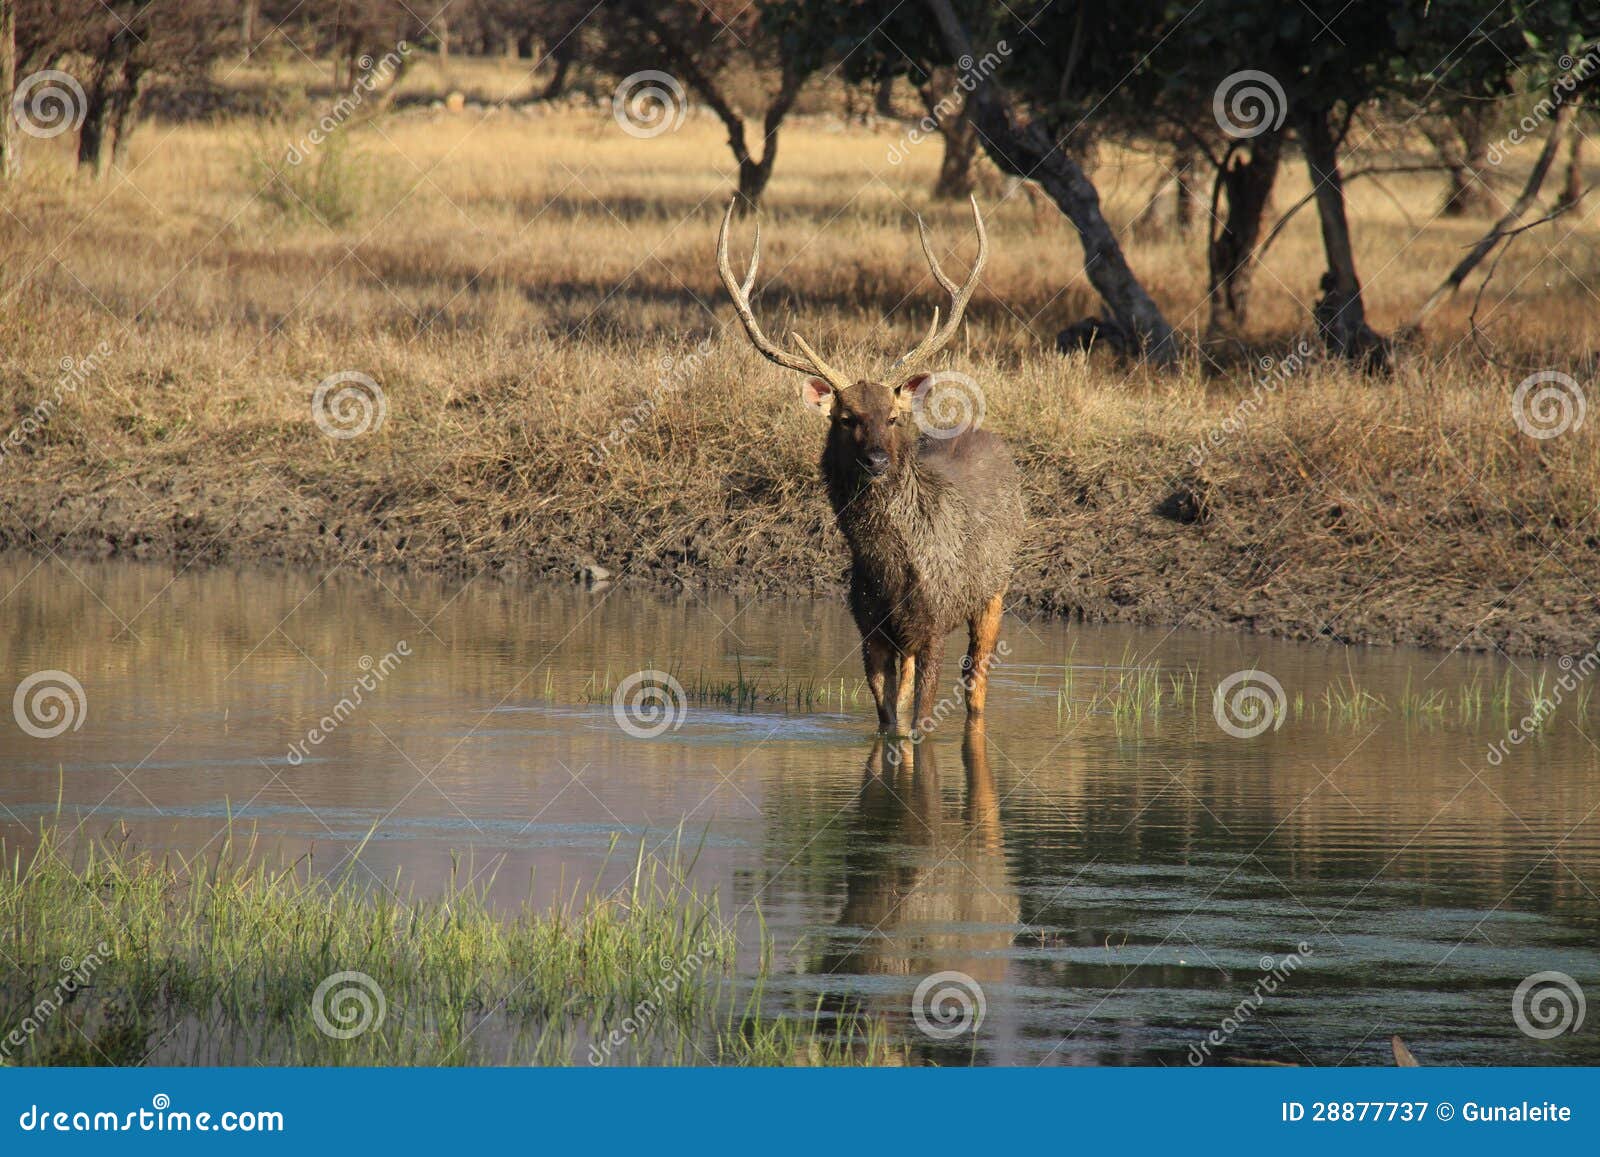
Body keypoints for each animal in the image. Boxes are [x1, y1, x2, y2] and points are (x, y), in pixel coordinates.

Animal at [717, 197, 1024, 737]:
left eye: (894, 417)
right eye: (846, 418)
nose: (877, 459)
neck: (891, 571)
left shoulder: (933, 621)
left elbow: (920, 720)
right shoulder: (871, 628)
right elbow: (888, 720)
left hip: (995, 587)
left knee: (977, 683)